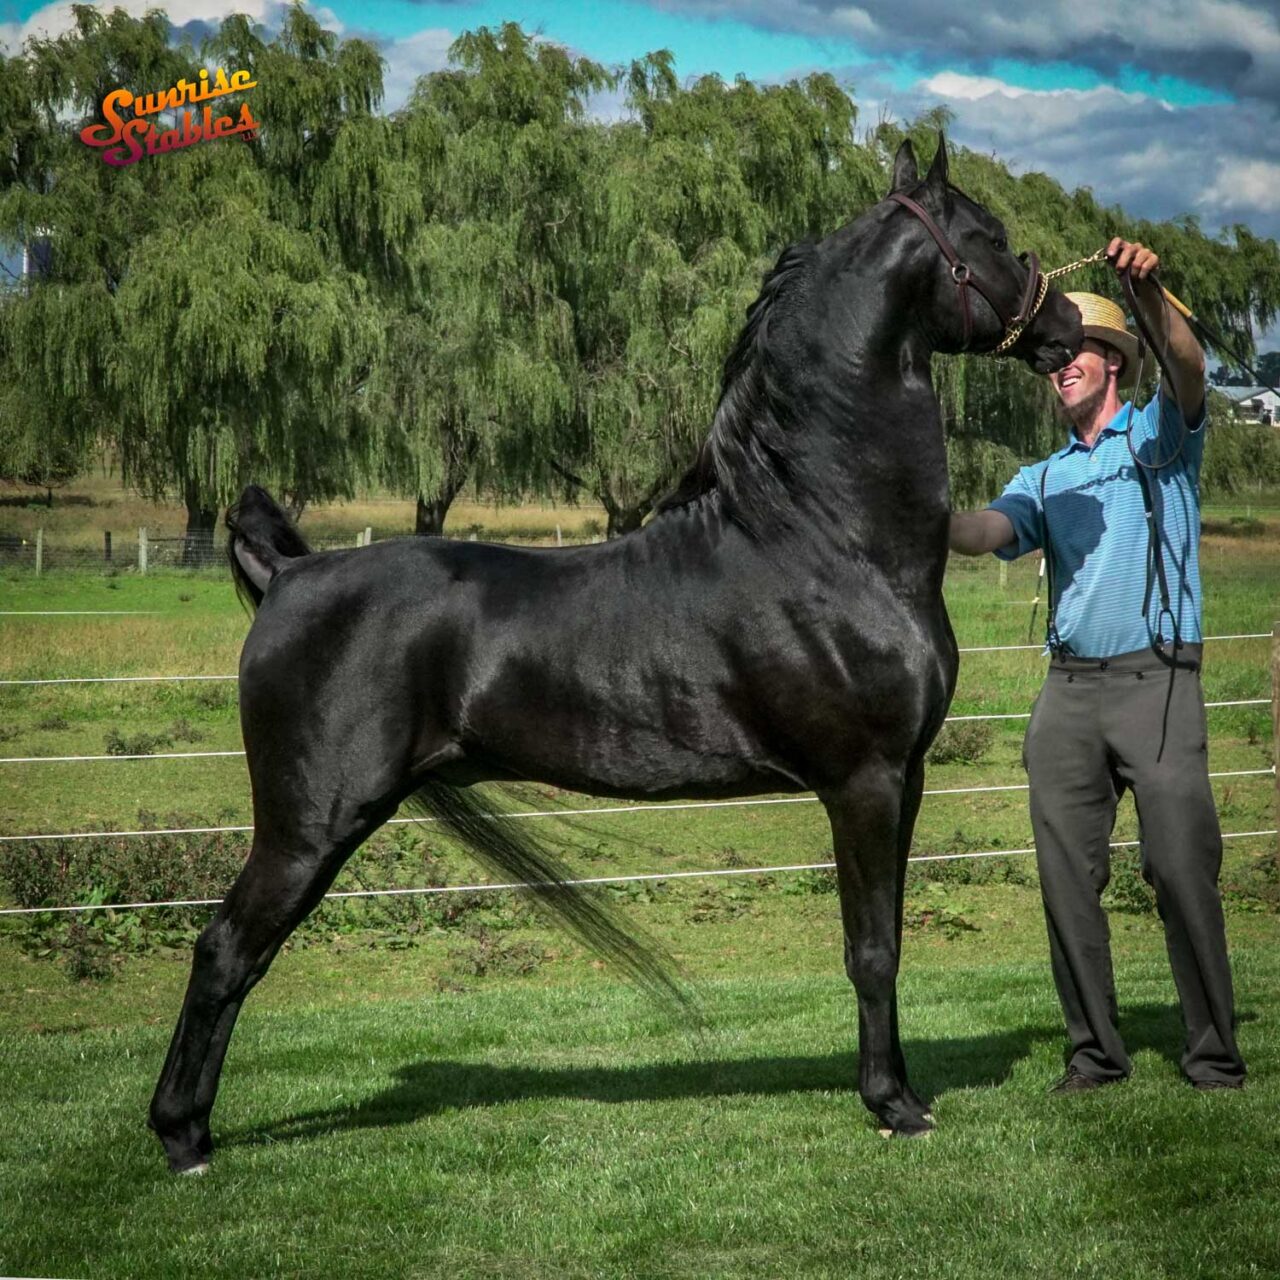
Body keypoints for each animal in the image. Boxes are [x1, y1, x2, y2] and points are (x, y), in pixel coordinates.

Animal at [149, 137, 1082, 1173]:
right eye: (988, 235)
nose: (1071, 325)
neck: (822, 534)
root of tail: (288, 576)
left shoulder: (905, 780)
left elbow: (889, 937)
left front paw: (904, 1090)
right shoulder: (865, 781)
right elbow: (871, 949)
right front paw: (892, 1104)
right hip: (309, 825)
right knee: (226, 950)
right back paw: (182, 1137)